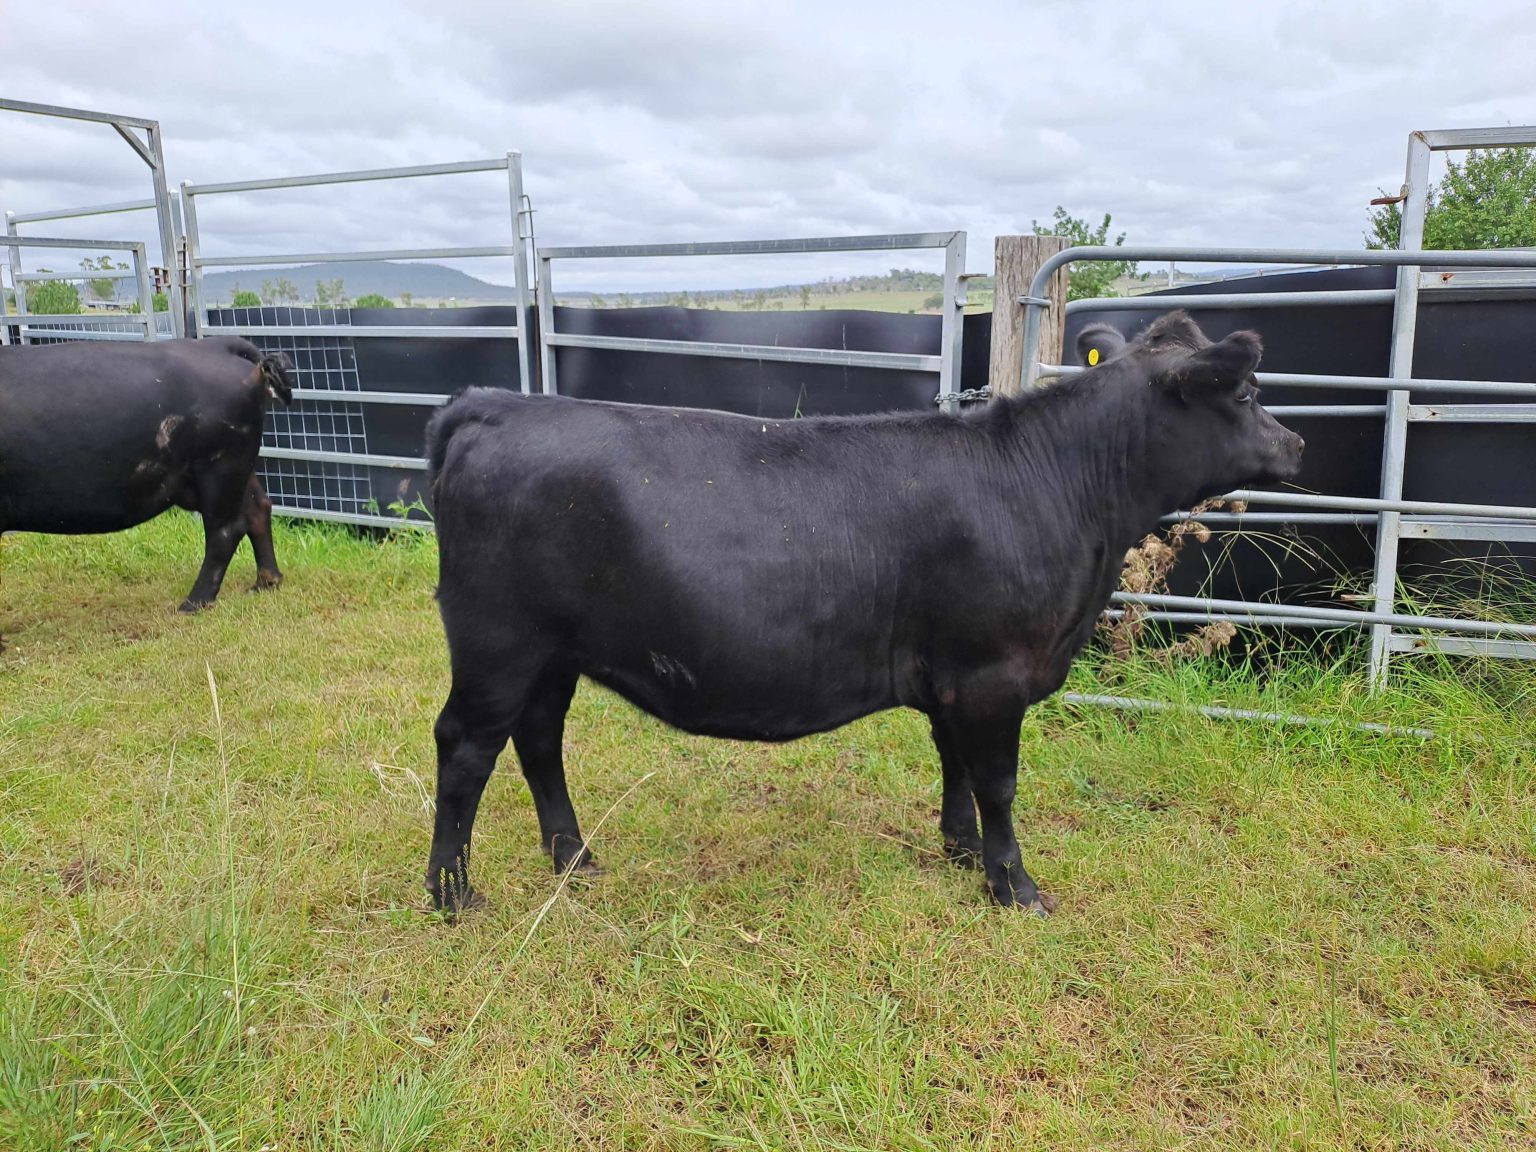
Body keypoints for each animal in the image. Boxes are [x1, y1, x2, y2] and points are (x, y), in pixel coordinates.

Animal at [0, 336, 294, 626]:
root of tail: (216, 343)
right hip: (233, 472)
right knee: (258, 507)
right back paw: (266, 581)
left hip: (220, 468)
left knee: (225, 531)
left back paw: (195, 603)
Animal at [422, 311, 1304, 915]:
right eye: (1249, 392)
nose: (1296, 445)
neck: (1059, 486)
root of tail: (494, 403)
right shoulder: (993, 672)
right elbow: (999, 781)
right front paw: (1015, 886)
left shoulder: (953, 675)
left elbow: (956, 766)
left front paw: (960, 851)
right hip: (497, 643)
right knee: (466, 748)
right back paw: (453, 893)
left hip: (552, 654)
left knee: (539, 740)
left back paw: (574, 859)